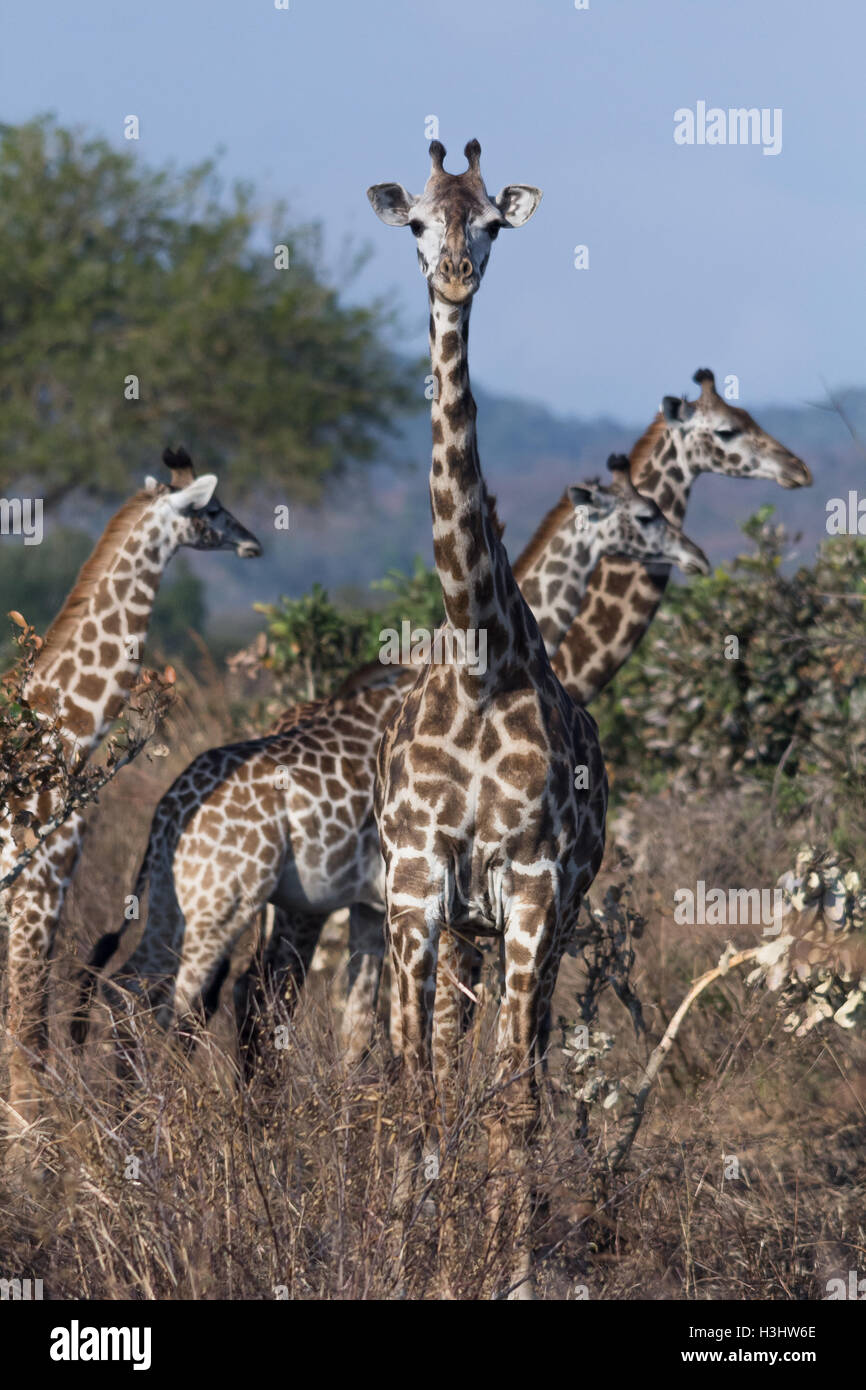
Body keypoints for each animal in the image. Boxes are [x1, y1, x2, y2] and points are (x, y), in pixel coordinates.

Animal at [70, 462, 708, 1069]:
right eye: (646, 515)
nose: (695, 557)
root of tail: (166, 814)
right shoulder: (413, 901)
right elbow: (430, 1027)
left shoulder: (373, 906)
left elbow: (372, 1030)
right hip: (228, 903)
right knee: (188, 1003)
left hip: (191, 902)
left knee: (147, 988)